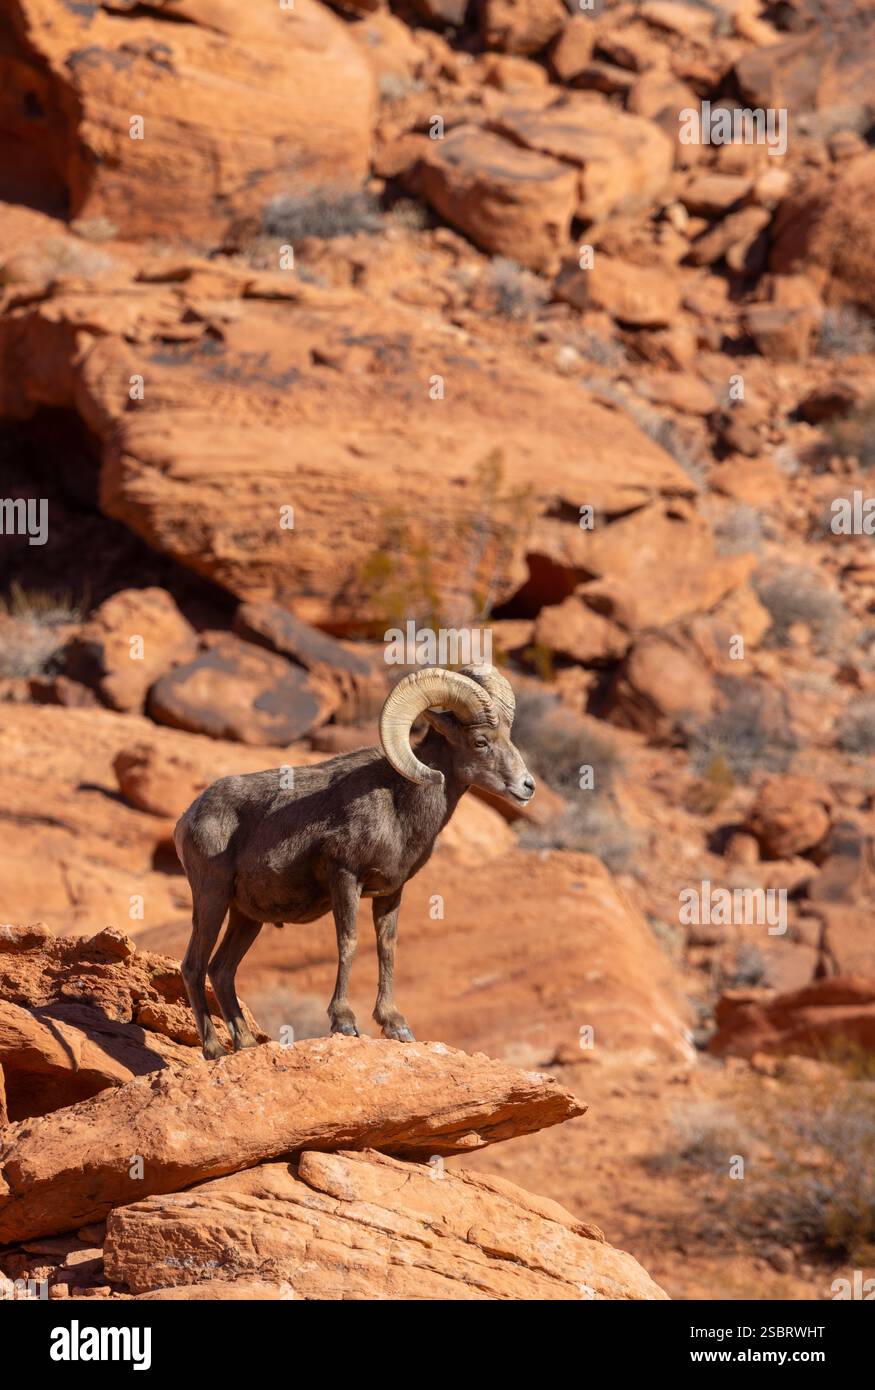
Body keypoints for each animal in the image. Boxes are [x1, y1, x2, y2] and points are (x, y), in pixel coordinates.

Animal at [174, 663, 535, 1059]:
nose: (527, 786)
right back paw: (214, 1050)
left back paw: (247, 1044)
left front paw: (396, 1025)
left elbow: (386, 948)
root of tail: (189, 817)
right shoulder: (346, 878)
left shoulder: (391, 892)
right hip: (212, 898)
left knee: (222, 970)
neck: (399, 806)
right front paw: (345, 1022)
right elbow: (348, 942)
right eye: (481, 741)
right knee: (193, 966)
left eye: (509, 737)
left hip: (247, 917)